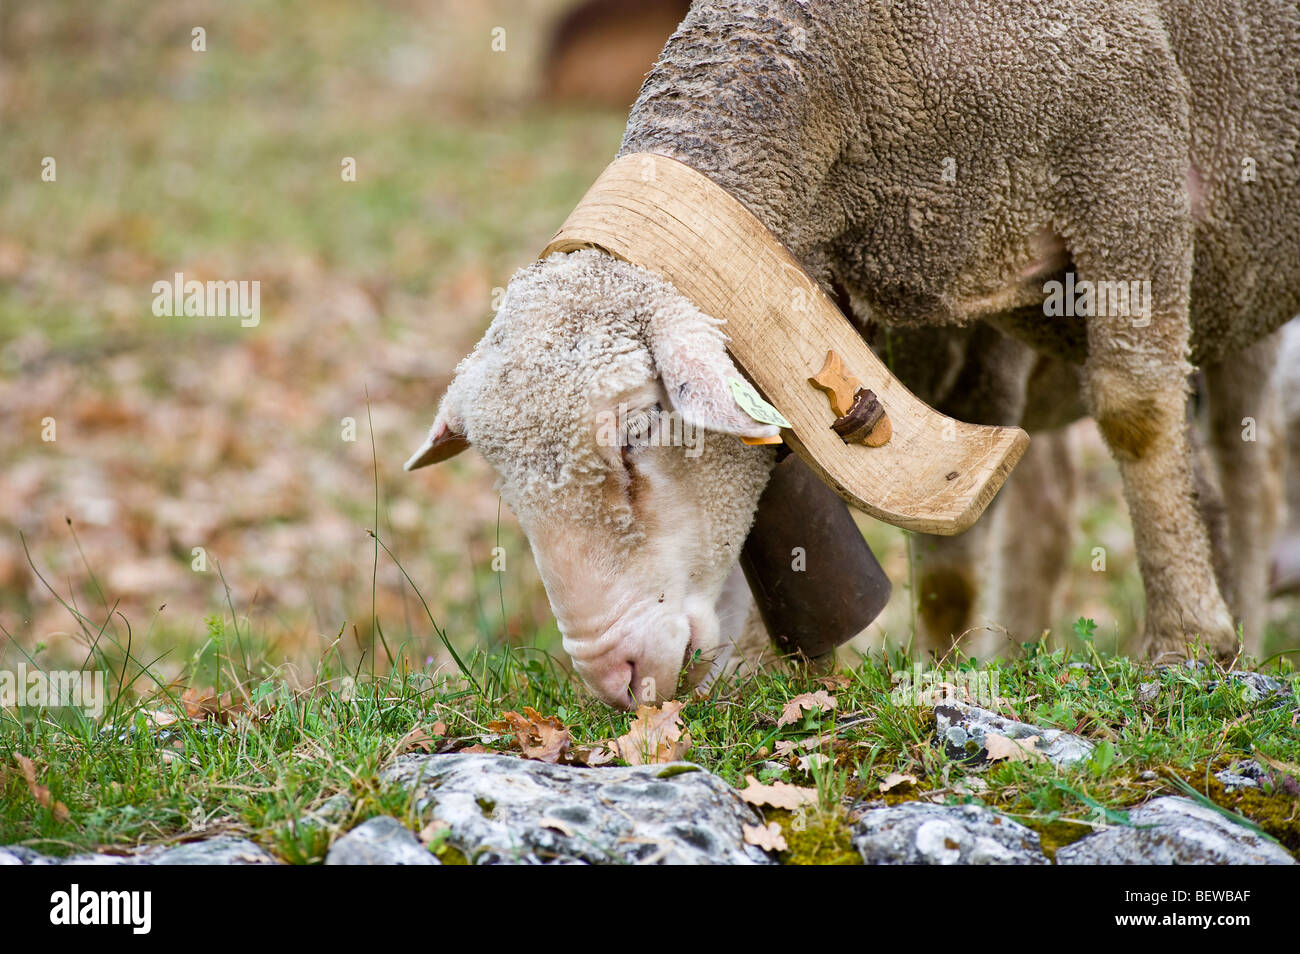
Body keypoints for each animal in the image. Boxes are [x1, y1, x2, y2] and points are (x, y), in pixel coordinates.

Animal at [409, 0, 1300, 705]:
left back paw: (1243, 637)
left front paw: (1186, 644)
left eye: (637, 437)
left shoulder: (1130, 170)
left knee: (1247, 469)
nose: (614, 676)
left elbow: (1136, 415)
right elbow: (943, 553)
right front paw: (914, 667)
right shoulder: (924, 295)